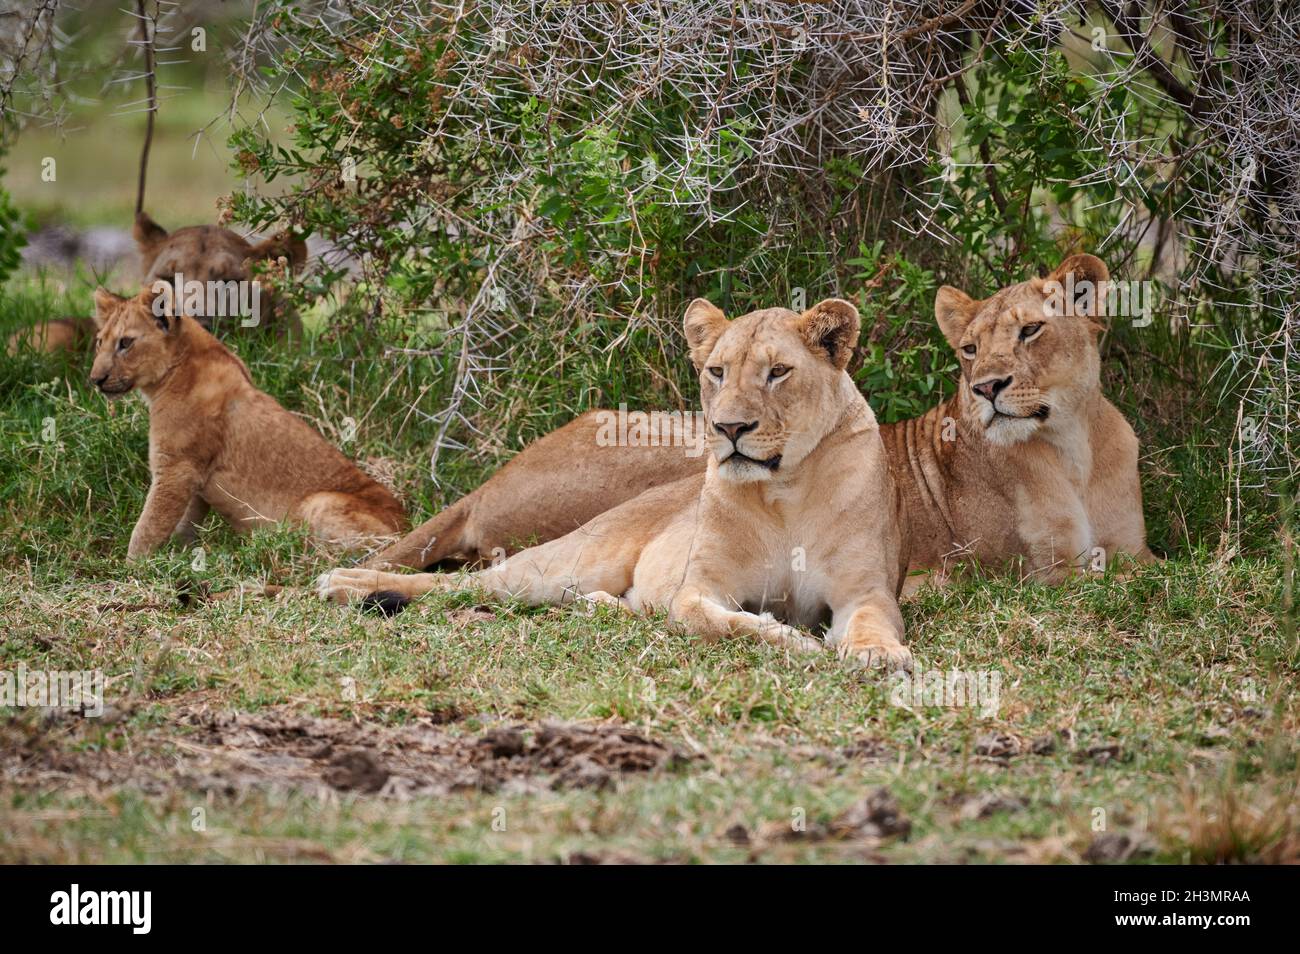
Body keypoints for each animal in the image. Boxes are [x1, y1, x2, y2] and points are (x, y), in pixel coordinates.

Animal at [90, 286, 407, 559]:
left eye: (125, 343)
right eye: (100, 342)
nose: (95, 380)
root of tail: (406, 526)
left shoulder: (176, 469)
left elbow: (148, 526)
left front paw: (133, 567)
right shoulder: (194, 476)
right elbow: (185, 521)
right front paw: (178, 554)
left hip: (321, 502)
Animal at [319, 298, 912, 670]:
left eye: (779, 372)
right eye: (717, 372)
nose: (729, 428)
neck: (784, 490)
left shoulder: (864, 589)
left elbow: (875, 621)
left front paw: (878, 655)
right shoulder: (698, 589)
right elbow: (720, 623)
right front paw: (789, 638)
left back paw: (604, 608)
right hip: (565, 560)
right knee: (462, 585)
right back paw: (344, 583)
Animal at [362, 254, 1151, 588]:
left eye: (1030, 332)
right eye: (968, 349)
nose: (986, 387)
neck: (1072, 448)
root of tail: (489, 484)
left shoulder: (1129, 549)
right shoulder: (1013, 567)